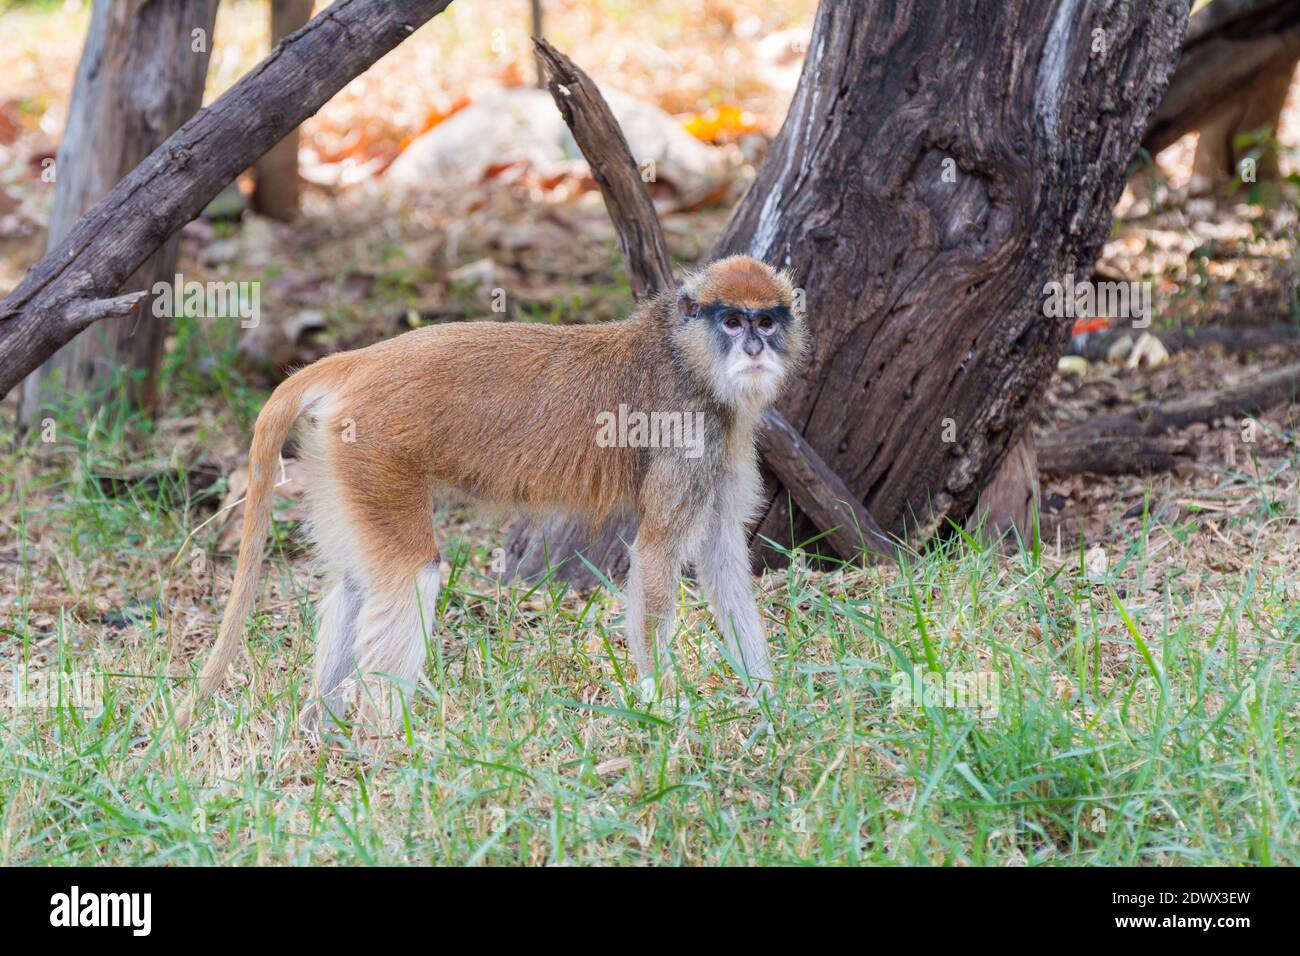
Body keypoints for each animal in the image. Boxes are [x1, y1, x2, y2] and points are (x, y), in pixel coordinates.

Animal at [174, 255, 807, 734]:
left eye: (766, 320)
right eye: (732, 321)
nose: (754, 348)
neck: (684, 356)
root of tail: (360, 361)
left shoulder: (722, 444)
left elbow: (723, 556)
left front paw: (769, 700)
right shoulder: (687, 435)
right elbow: (655, 557)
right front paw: (666, 705)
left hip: (336, 454)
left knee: (355, 584)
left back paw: (320, 729)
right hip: (372, 448)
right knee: (411, 575)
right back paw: (383, 742)